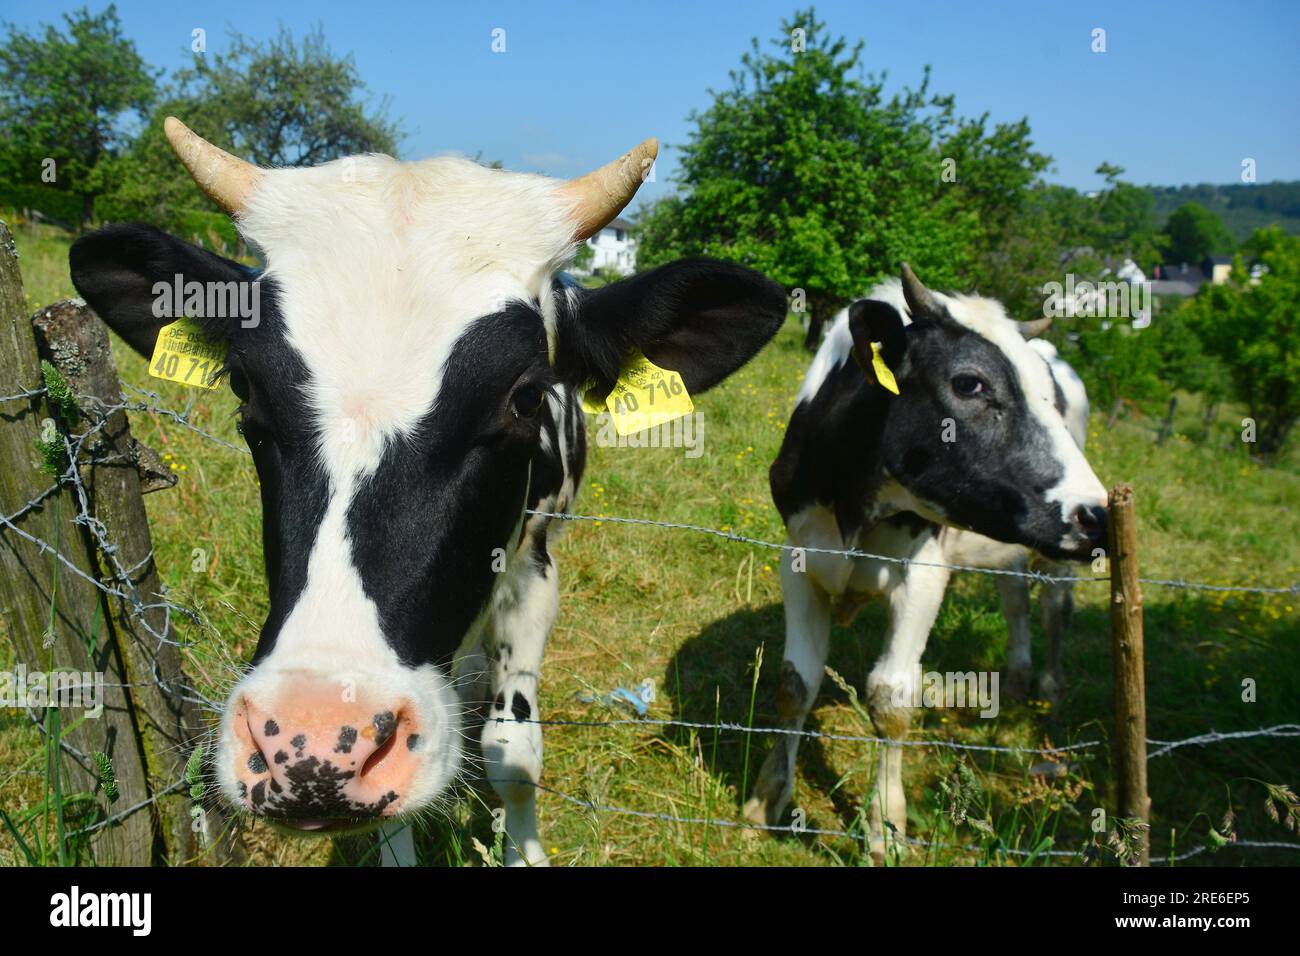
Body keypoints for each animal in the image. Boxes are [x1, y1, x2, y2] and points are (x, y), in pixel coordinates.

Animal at [69, 118, 787, 865]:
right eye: (242, 384)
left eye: (526, 395)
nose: (314, 744)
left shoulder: (535, 570)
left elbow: (514, 752)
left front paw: (523, 845)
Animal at [742, 265, 1107, 861]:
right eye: (970, 383)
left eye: (1048, 397)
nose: (1096, 513)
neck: (854, 506)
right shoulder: (798, 559)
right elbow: (795, 683)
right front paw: (764, 801)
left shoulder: (924, 576)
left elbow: (891, 699)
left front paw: (885, 830)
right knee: (1014, 598)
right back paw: (1017, 678)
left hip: (1057, 554)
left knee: (1056, 605)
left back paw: (1049, 691)